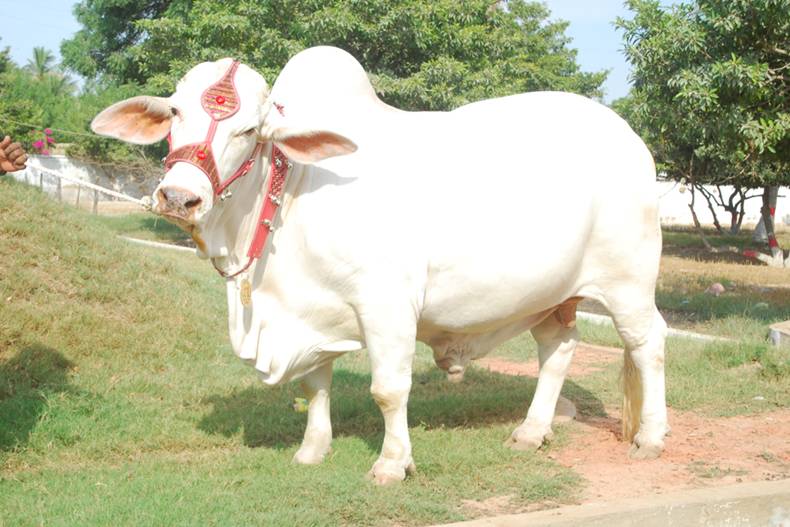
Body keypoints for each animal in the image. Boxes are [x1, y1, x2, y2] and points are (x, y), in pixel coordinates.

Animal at [91, 46, 668, 485]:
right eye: (174, 114)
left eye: (250, 131)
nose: (179, 196)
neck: (293, 192)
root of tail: (630, 138)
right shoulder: (312, 308)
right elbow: (314, 385)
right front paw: (312, 450)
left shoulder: (387, 304)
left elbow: (388, 390)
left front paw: (392, 464)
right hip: (553, 294)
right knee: (559, 348)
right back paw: (531, 431)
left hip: (630, 284)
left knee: (648, 345)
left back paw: (650, 437)